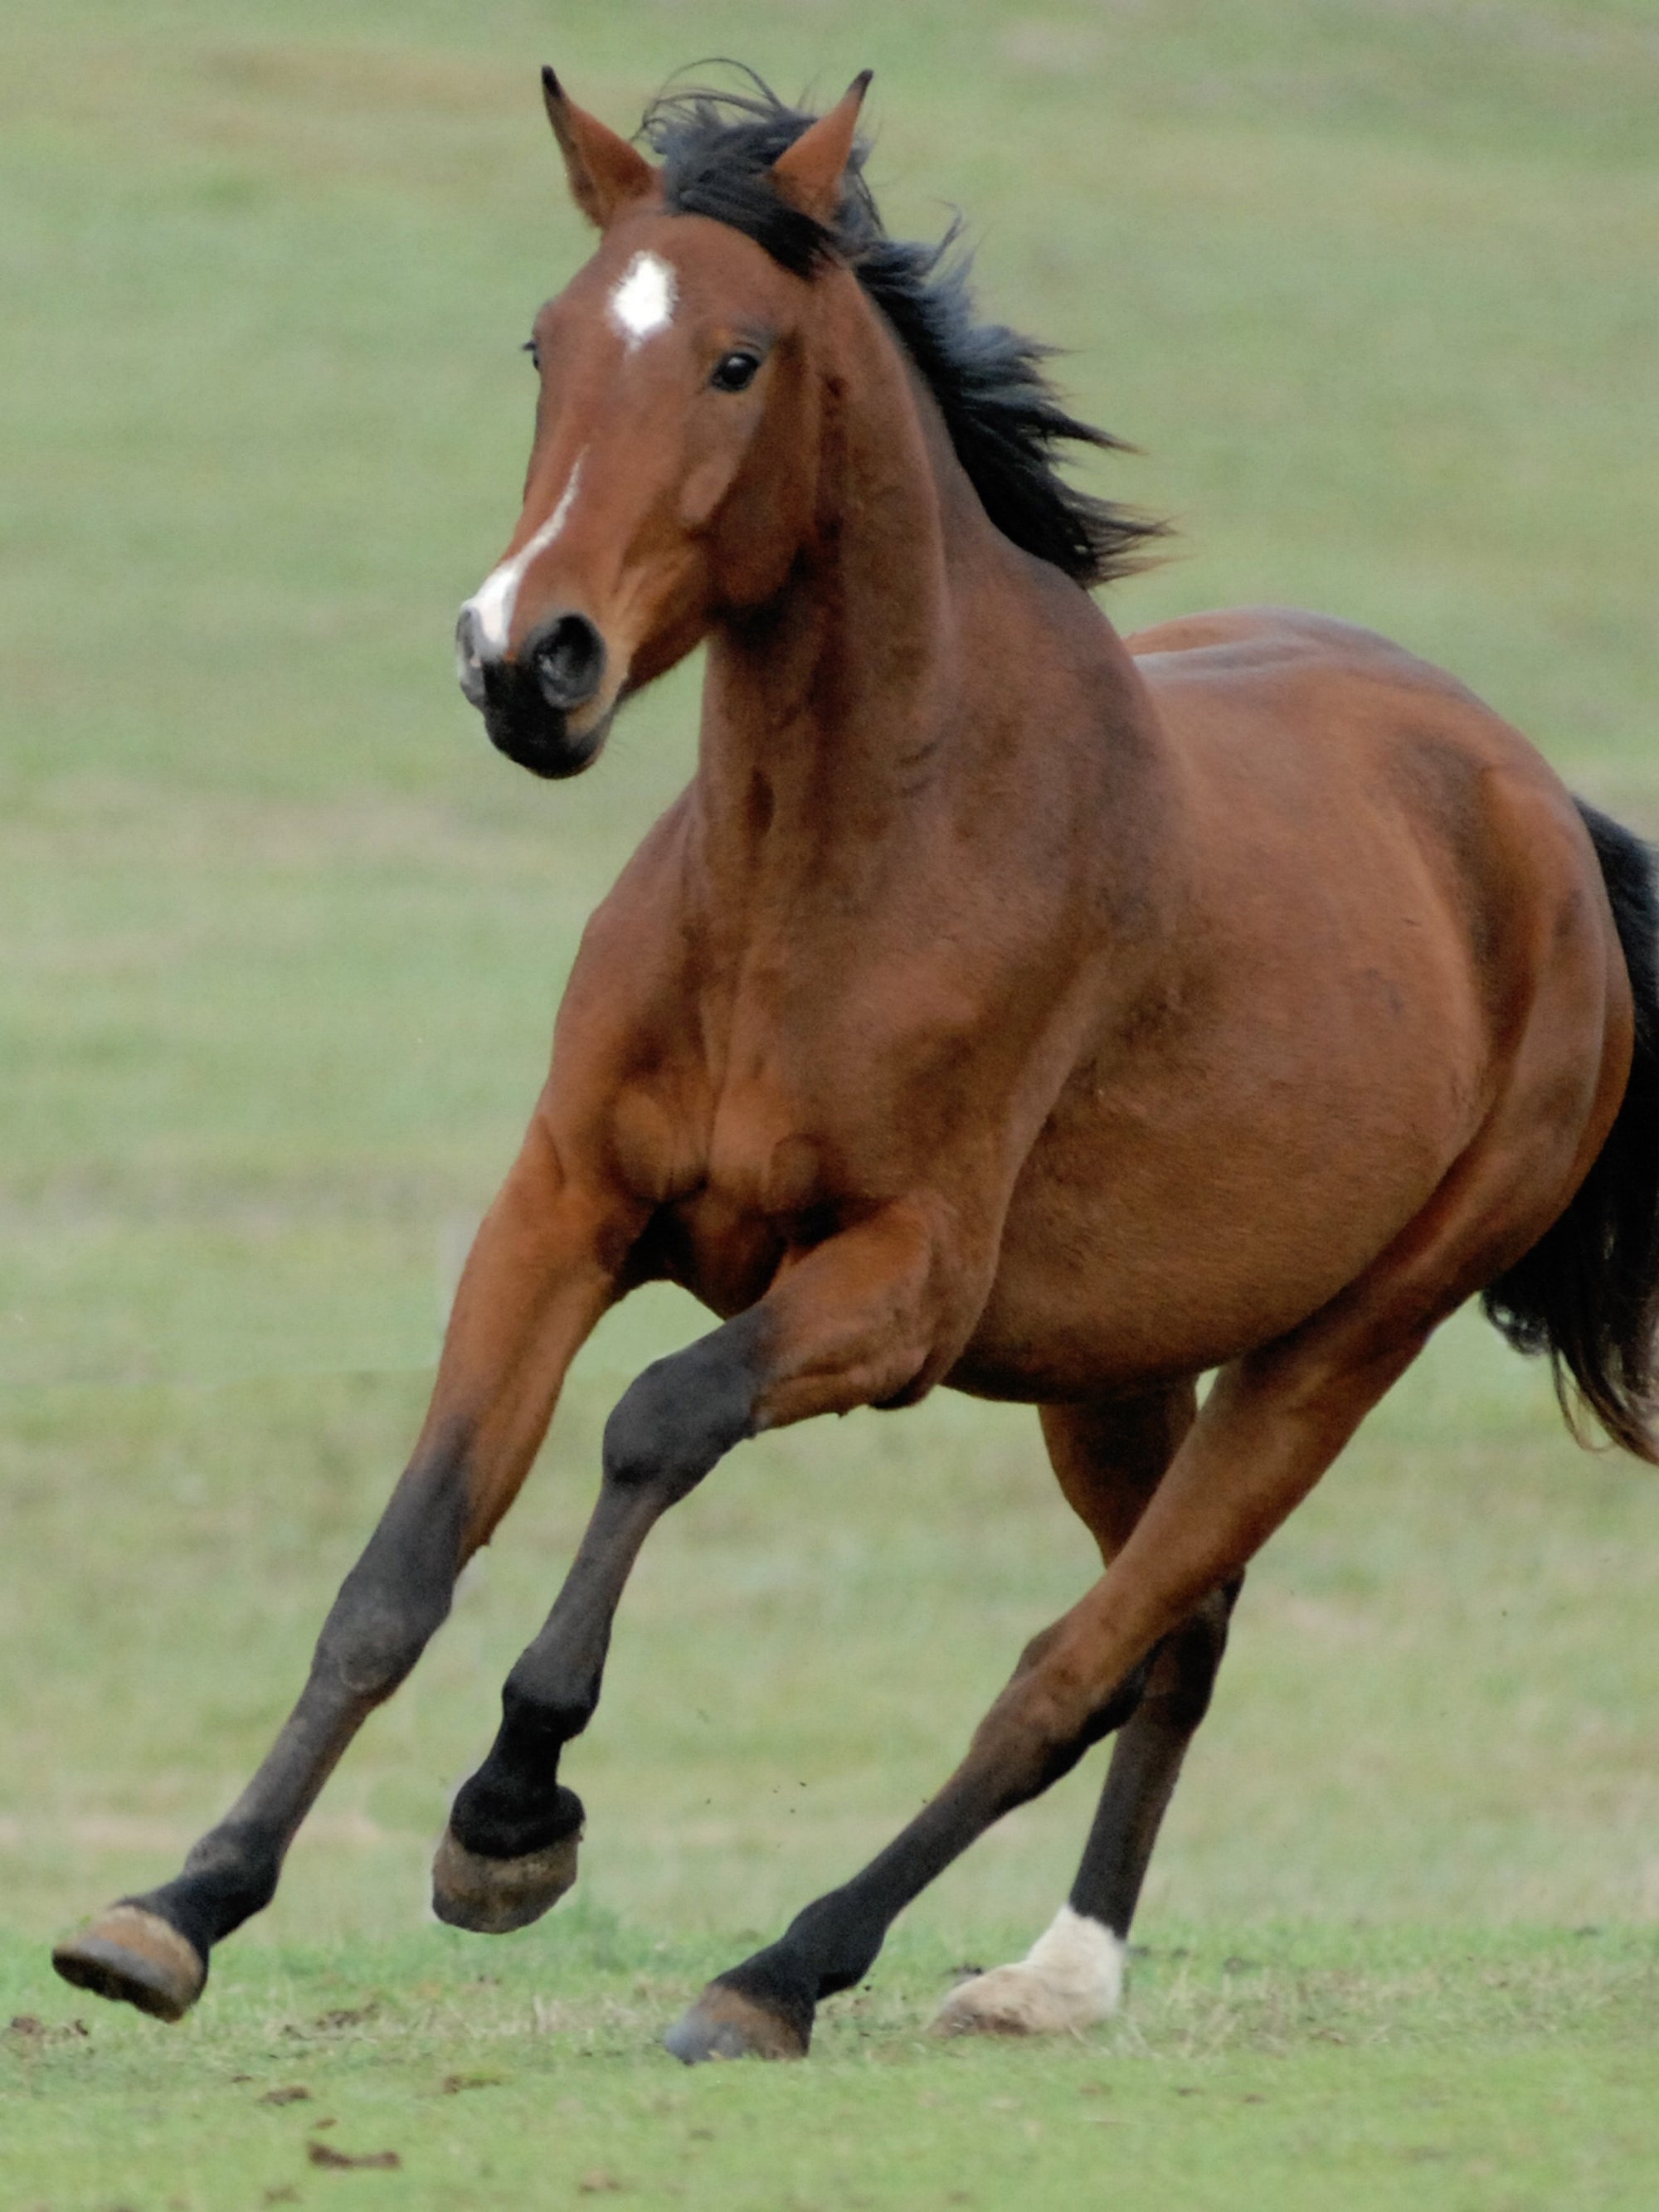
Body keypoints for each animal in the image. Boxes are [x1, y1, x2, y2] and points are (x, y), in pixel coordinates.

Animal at [54, 68, 1659, 2064]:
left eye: (737, 361)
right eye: (547, 341)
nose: (523, 661)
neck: (824, 875)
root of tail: (1544, 817)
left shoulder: (896, 1287)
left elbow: (658, 1419)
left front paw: (511, 1816)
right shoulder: (560, 1208)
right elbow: (399, 1567)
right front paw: (175, 1907)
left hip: (1339, 1348)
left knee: (1075, 1661)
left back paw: (781, 1968)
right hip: (1115, 1368)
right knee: (1180, 1634)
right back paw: (1056, 1974)